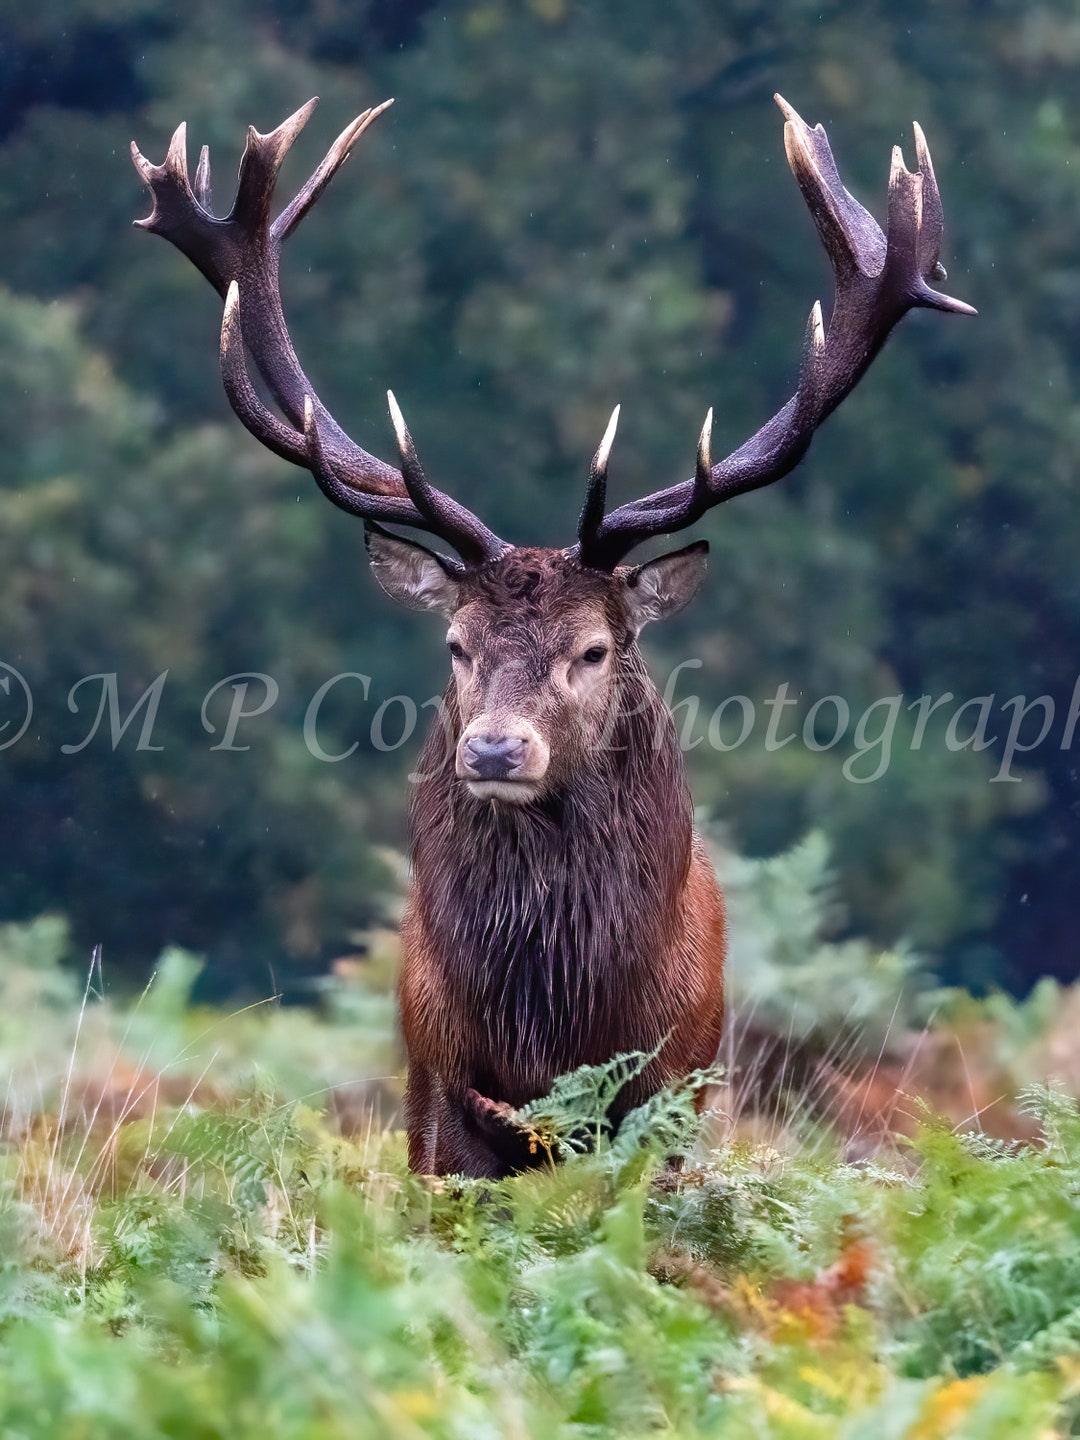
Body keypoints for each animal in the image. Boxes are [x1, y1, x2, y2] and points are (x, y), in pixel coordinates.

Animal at [132, 95, 973, 1177]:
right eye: (455, 643)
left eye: (594, 649)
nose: (496, 749)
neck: (554, 1032)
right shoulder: (445, 1092)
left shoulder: (669, 1090)